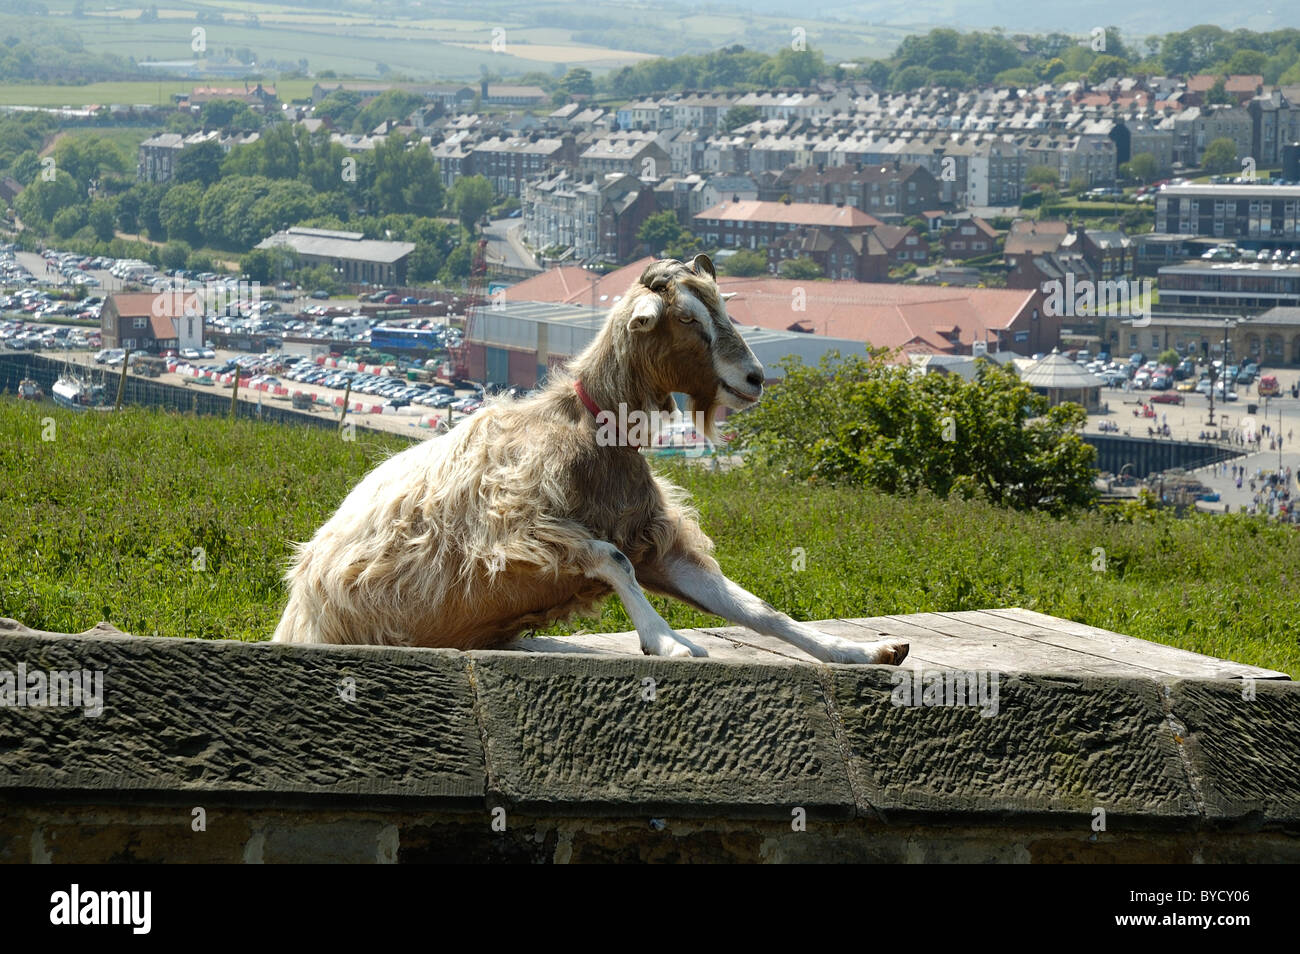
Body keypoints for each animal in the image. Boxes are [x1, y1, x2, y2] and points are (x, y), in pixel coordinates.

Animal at [272, 255, 909, 666]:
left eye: (722, 309)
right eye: (688, 318)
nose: (753, 378)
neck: (586, 429)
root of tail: (295, 601)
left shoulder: (654, 540)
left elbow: (760, 611)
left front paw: (861, 651)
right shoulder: (522, 535)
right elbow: (611, 560)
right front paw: (669, 641)